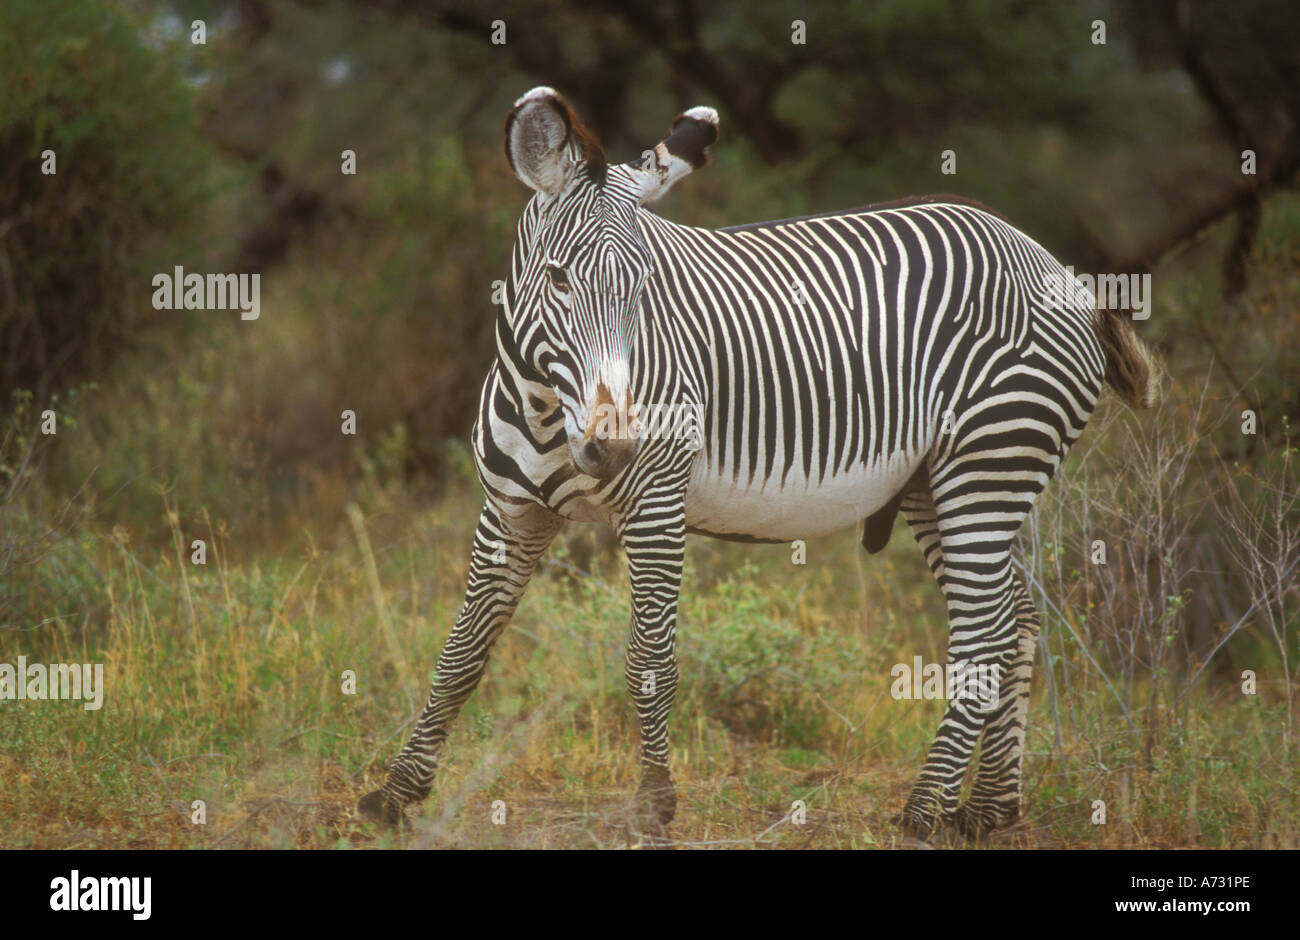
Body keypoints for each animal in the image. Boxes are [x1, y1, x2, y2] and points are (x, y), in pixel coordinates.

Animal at [357, 86, 1160, 842]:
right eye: (557, 280)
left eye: (648, 289)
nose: (614, 446)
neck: (547, 407)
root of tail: (1058, 268)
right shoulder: (510, 511)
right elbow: (461, 653)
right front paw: (395, 794)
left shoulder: (655, 503)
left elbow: (649, 659)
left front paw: (654, 808)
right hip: (942, 482)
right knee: (1015, 619)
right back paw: (990, 810)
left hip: (989, 460)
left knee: (985, 632)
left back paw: (923, 809)